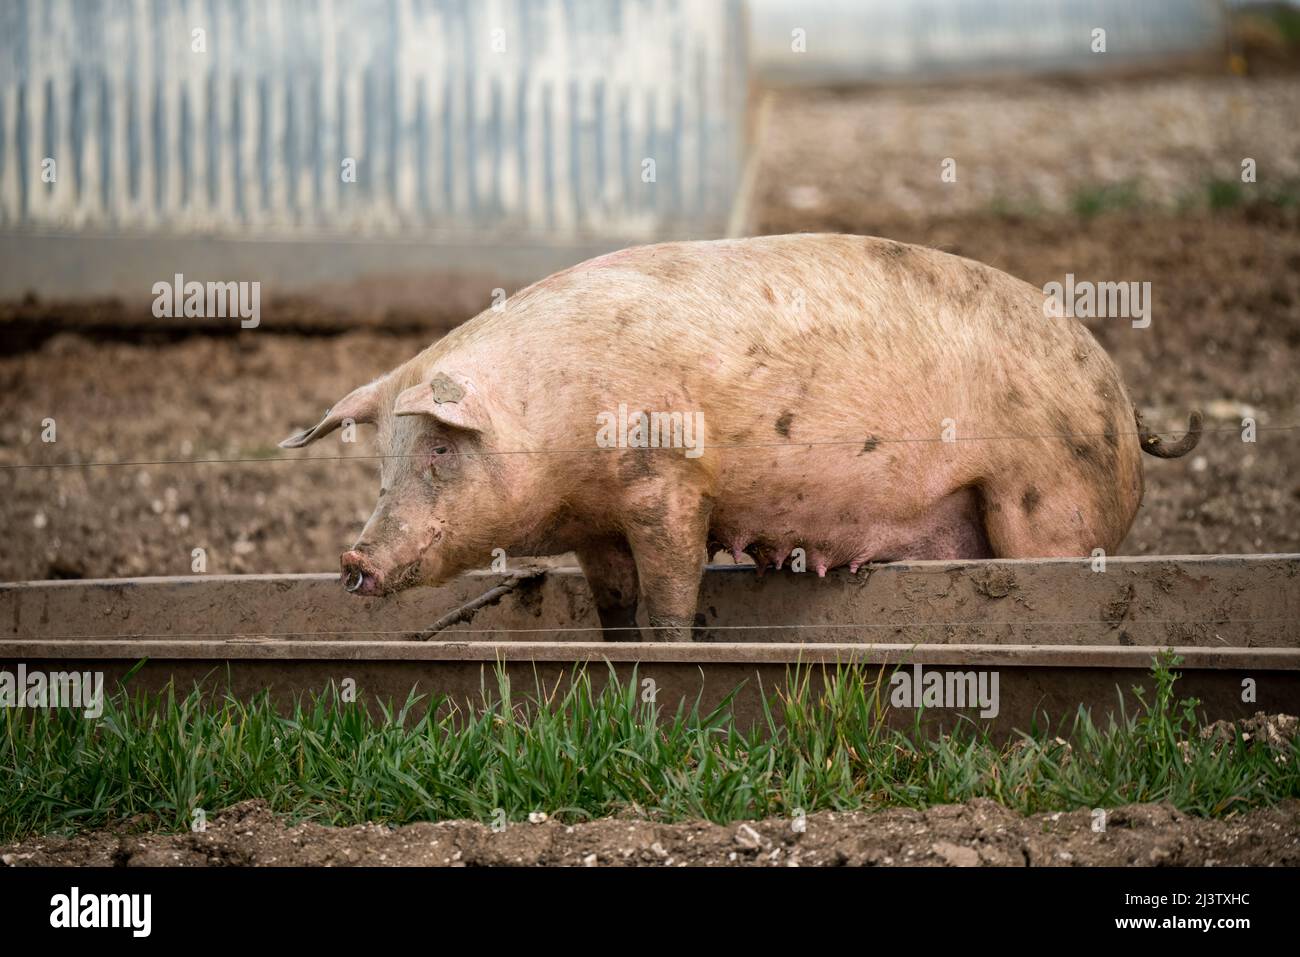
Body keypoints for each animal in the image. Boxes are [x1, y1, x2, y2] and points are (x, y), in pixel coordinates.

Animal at [280, 234, 1200, 641]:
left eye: (439, 450)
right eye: (383, 463)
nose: (354, 559)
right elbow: (614, 607)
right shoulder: (595, 527)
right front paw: (616, 651)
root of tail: (1129, 404)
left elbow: (672, 595)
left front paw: (670, 653)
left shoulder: (667, 482)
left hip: (1048, 506)